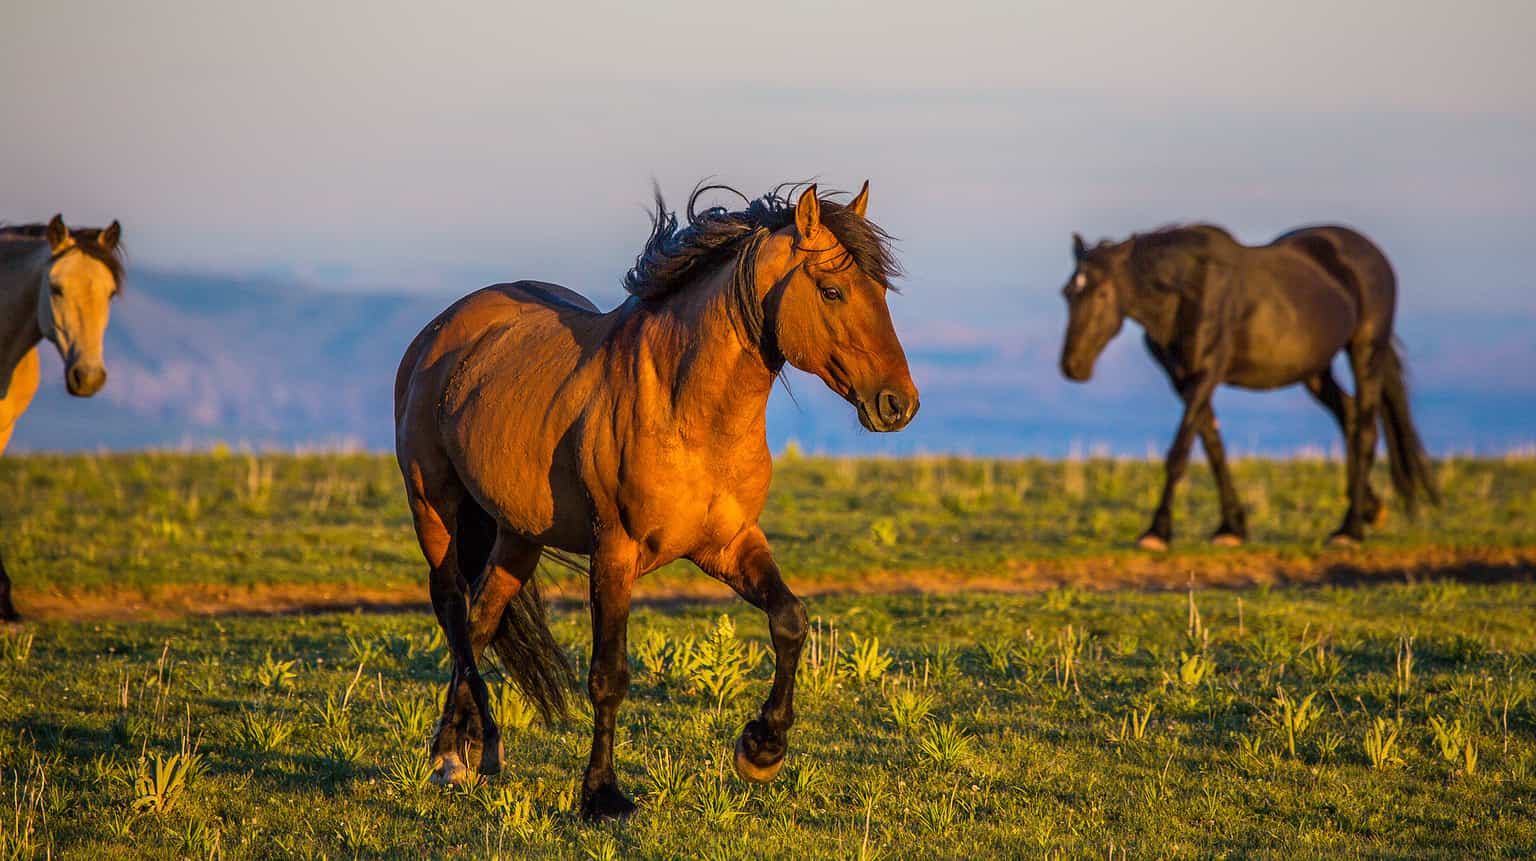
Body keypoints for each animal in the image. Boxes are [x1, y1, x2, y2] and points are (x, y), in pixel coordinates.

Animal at [394, 182, 918, 819]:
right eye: (833, 290)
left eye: (881, 292)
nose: (898, 403)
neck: (687, 411)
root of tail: (442, 328)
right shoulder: (613, 555)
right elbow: (608, 675)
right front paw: (601, 793)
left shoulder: (729, 545)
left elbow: (790, 619)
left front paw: (762, 749)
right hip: (434, 509)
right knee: (452, 607)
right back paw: (460, 750)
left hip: (519, 535)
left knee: (481, 619)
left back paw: (465, 751)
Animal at [1058, 224, 1437, 548]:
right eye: (1067, 293)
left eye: (1103, 293)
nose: (1072, 366)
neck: (1186, 295)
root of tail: (1372, 253)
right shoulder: (1181, 379)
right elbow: (1213, 447)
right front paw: (1231, 527)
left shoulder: (1207, 373)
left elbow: (1180, 451)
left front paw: (1157, 532)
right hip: (1314, 369)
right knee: (1349, 414)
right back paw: (1371, 510)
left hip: (1366, 350)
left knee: (1366, 427)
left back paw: (1350, 529)